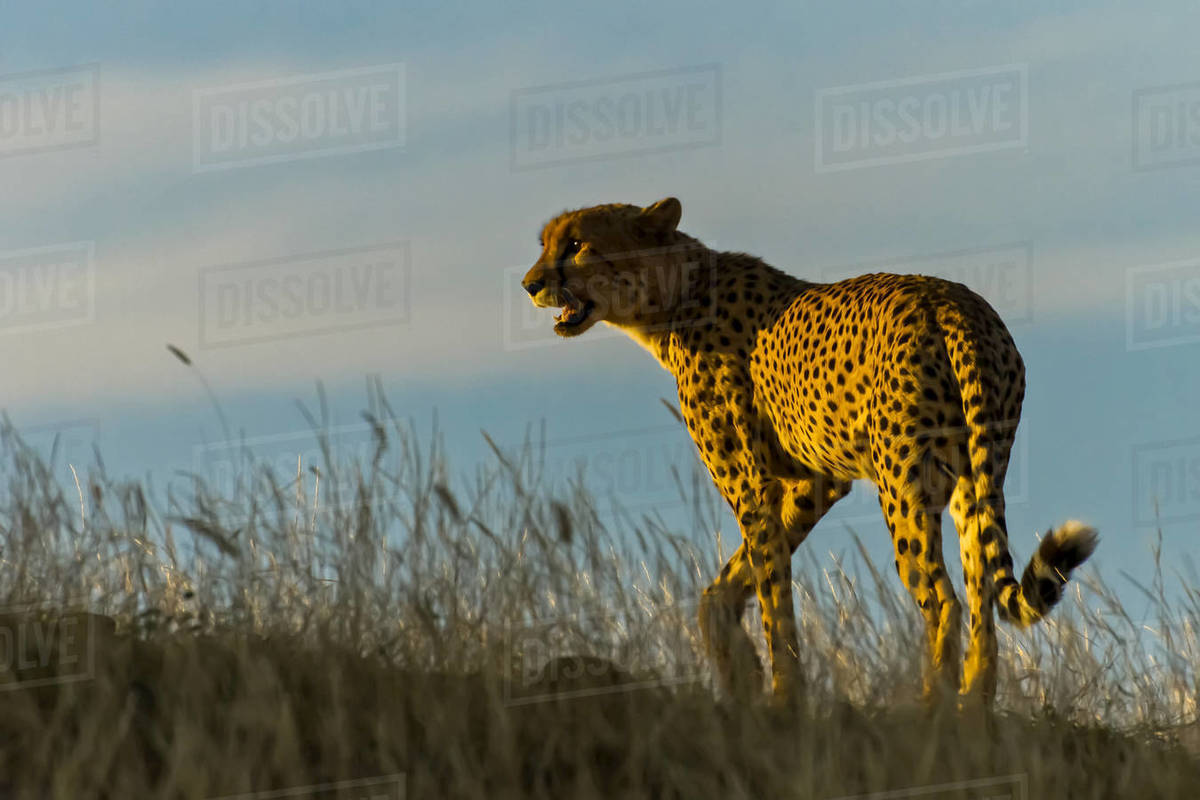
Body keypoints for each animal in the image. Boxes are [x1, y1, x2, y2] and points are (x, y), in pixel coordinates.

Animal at [520, 196, 1097, 704]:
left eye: (577, 244)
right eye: (545, 243)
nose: (530, 284)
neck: (676, 293)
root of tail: (953, 301)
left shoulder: (752, 486)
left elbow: (773, 593)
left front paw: (781, 694)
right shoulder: (813, 480)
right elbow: (727, 586)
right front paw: (741, 671)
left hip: (903, 484)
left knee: (942, 599)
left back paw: (931, 707)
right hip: (975, 479)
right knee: (982, 602)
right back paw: (973, 709)